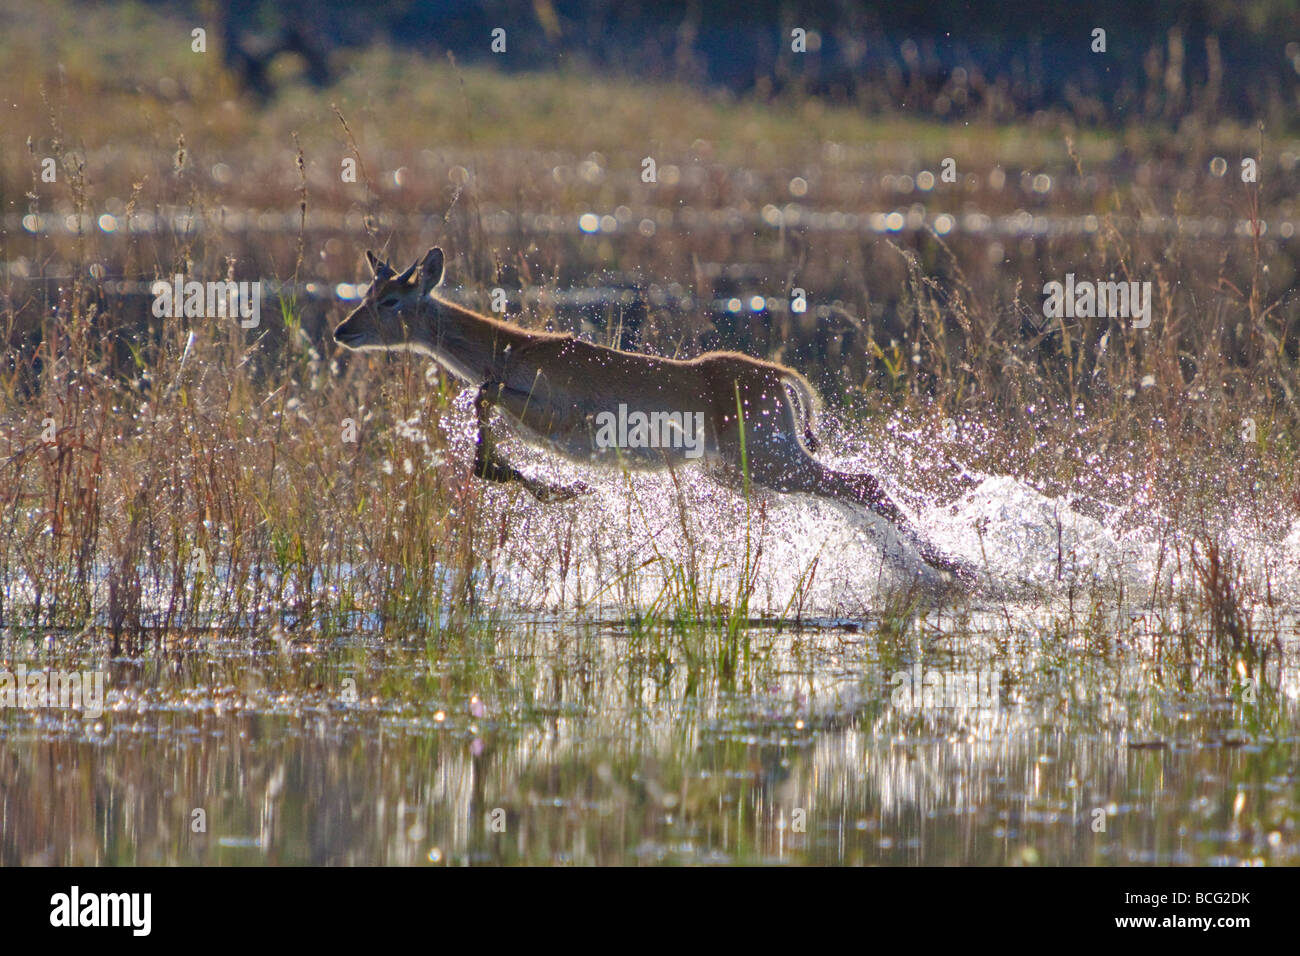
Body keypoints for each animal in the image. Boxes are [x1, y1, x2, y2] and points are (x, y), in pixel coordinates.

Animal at [333, 248, 971, 581]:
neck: (514, 350)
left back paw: (955, 567)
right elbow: (481, 411)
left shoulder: (554, 413)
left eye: (391, 298)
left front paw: (558, 489)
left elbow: (481, 398)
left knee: (866, 483)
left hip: (772, 459)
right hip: (744, 470)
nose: (344, 331)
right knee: (855, 491)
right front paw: (540, 485)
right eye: (366, 293)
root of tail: (777, 376)